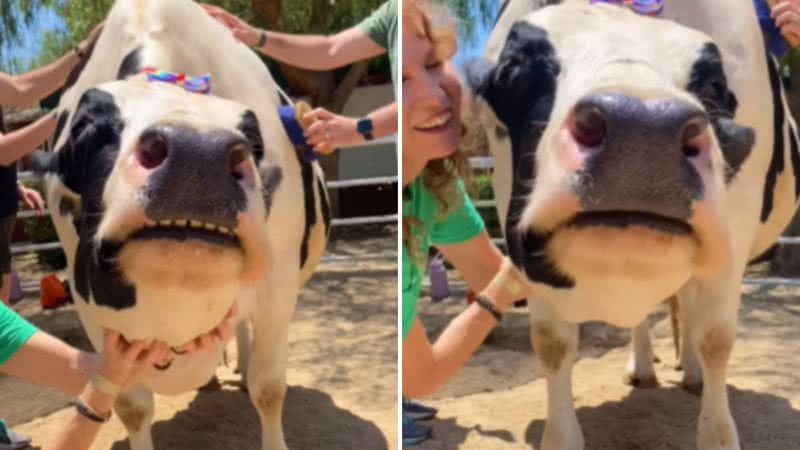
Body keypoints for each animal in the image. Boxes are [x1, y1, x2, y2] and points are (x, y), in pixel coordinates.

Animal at [32, 1, 330, 449]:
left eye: (253, 137)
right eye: (84, 127)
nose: (197, 154)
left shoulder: (278, 287)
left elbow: (269, 388)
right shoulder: (90, 306)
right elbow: (131, 405)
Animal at [465, 0, 800, 449]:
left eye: (714, 85)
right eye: (513, 72)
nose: (643, 133)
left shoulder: (733, 240)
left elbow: (715, 338)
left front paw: (717, 432)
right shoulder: (521, 242)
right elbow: (552, 344)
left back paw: (692, 373)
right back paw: (644, 367)